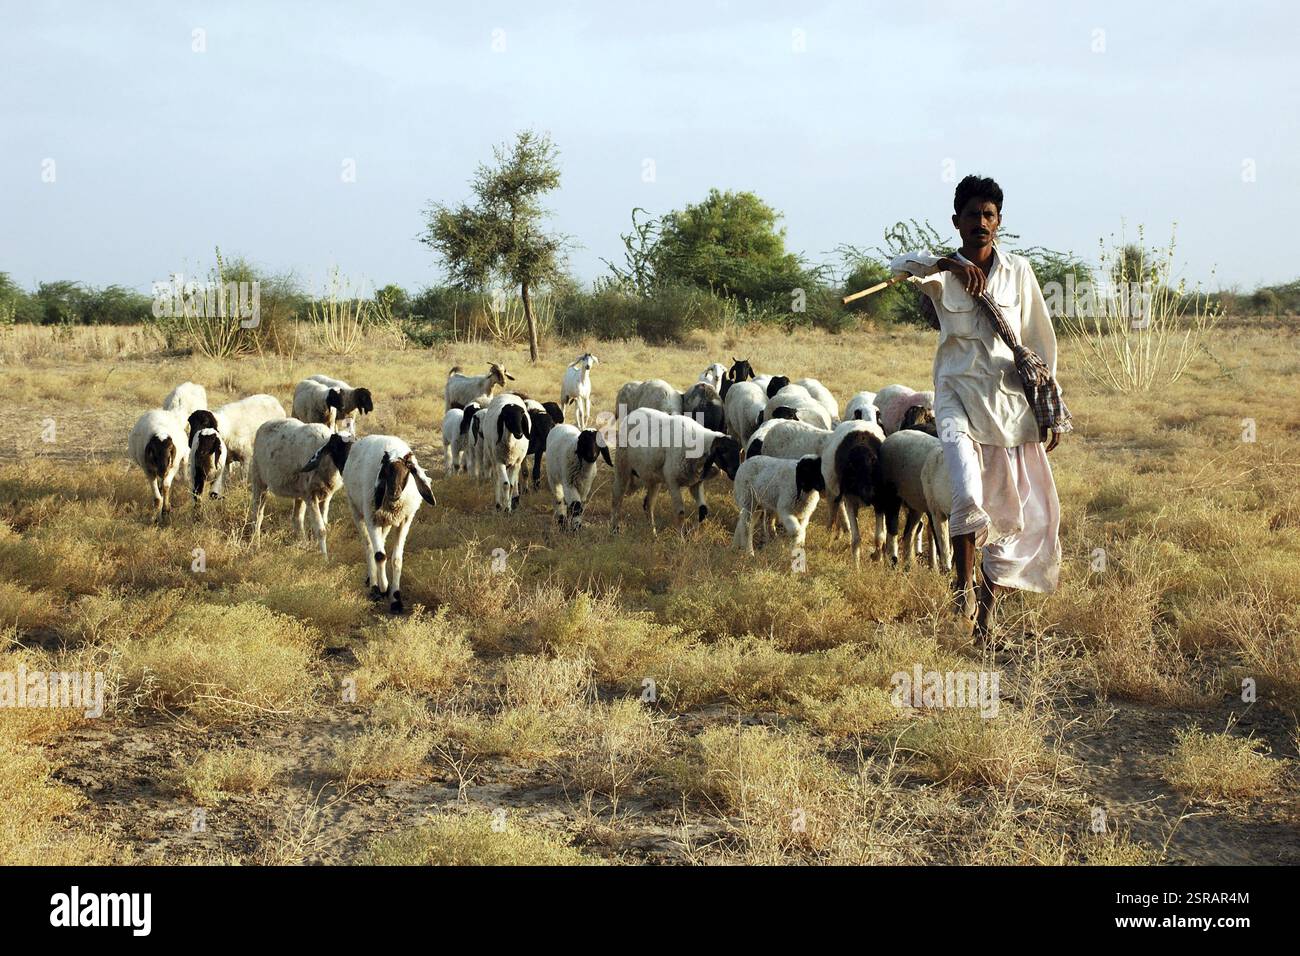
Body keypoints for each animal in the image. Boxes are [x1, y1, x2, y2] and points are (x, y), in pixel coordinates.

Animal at [248, 419, 351, 555]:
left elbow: (324, 525)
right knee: (257, 515)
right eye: (334, 447)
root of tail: (267, 423)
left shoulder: (327, 495)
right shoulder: (311, 495)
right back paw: (256, 546)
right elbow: (321, 530)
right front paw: (324, 557)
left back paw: (303, 544)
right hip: (259, 479)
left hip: (299, 491)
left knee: (297, 518)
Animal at [341, 434, 436, 613]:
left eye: (407, 467)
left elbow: (396, 559)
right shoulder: (371, 518)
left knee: (380, 543)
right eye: (385, 469)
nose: (394, 493)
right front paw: (383, 588)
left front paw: (396, 599)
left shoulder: (405, 520)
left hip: (384, 522)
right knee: (369, 547)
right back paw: (374, 585)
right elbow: (380, 555)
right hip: (357, 511)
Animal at [610, 407, 741, 533]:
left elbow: (703, 510)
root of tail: (632, 413)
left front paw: (692, 532)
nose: (736, 473)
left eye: (738, 451)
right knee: (617, 497)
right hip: (622, 465)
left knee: (648, 505)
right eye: (723, 452)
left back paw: (653, 533)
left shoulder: (696, 483)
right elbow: (680, 513)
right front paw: (681, 537)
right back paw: (615, 529)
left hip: (653, 477)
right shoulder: (672, 481)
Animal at [820, 420, 885, 566]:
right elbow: (856, 539)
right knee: (833, 513)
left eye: (874, 464)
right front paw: (856, 566)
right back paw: (830, 535)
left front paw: (876, 556)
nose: (869, 494)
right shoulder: (851, 501)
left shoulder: (880, 502)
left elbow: (879, 537)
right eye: (853, 469)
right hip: (832, 491)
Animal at [877, 429, 953, 572]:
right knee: (893, 530)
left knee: (909, 534)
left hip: (915, 506)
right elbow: (945, 546)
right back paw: (893, 563)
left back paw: (909, 566)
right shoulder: (937, 512)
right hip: (892, 497)